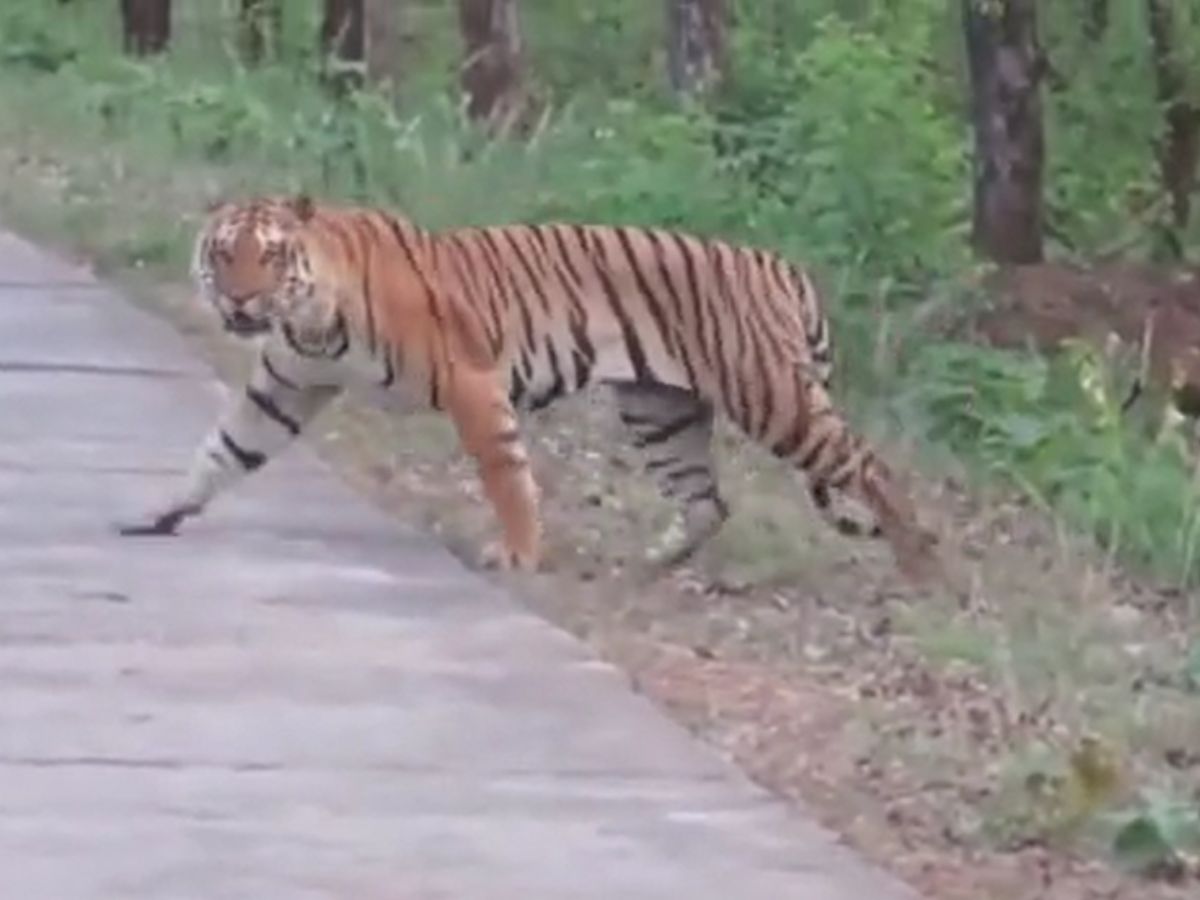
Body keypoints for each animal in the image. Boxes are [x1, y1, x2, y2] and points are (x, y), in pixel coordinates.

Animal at [117, 194, 941, 584]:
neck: (311, 316)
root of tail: (781, 265)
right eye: (224, 255)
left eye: (268, 257)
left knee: (870, 466)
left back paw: (922, 567)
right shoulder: (285, 386)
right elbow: (223, 449)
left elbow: (506, 475)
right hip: (660, 411)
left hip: (772, 398)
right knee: (709, 500)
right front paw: (159, 513)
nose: (239, 301)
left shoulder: (473, 383)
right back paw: (648, 565)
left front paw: (515, 554)